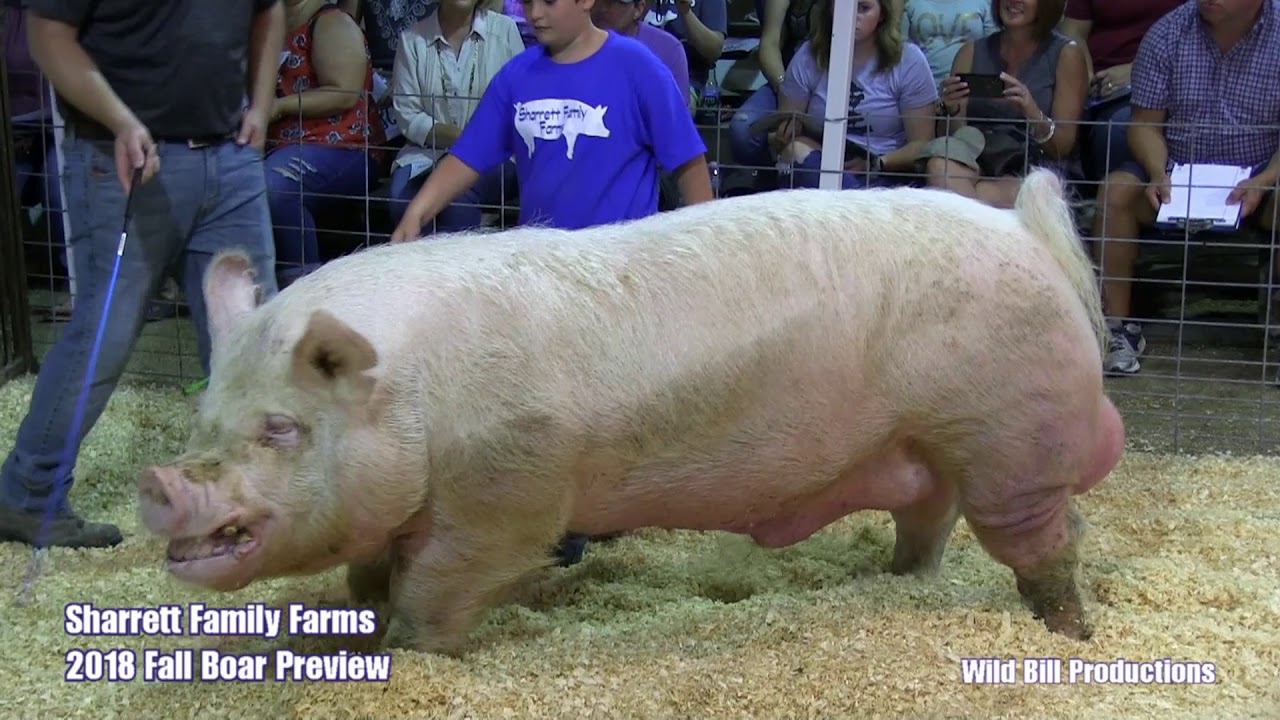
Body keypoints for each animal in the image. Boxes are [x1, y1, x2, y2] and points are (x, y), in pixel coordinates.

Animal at [137, 167, 1124, 656]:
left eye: (281, 429)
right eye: (206, 419)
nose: (162, 482)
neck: (418, 396)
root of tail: (1027, 234)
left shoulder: (512, 496)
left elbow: (437, 589)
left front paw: (408, 656)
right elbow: (369, 578)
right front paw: (364, 623)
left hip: (1011, 435)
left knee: (1045, 538)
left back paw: (1072, 635)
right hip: (924, 444)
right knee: (930, 517)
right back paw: (892, 584)